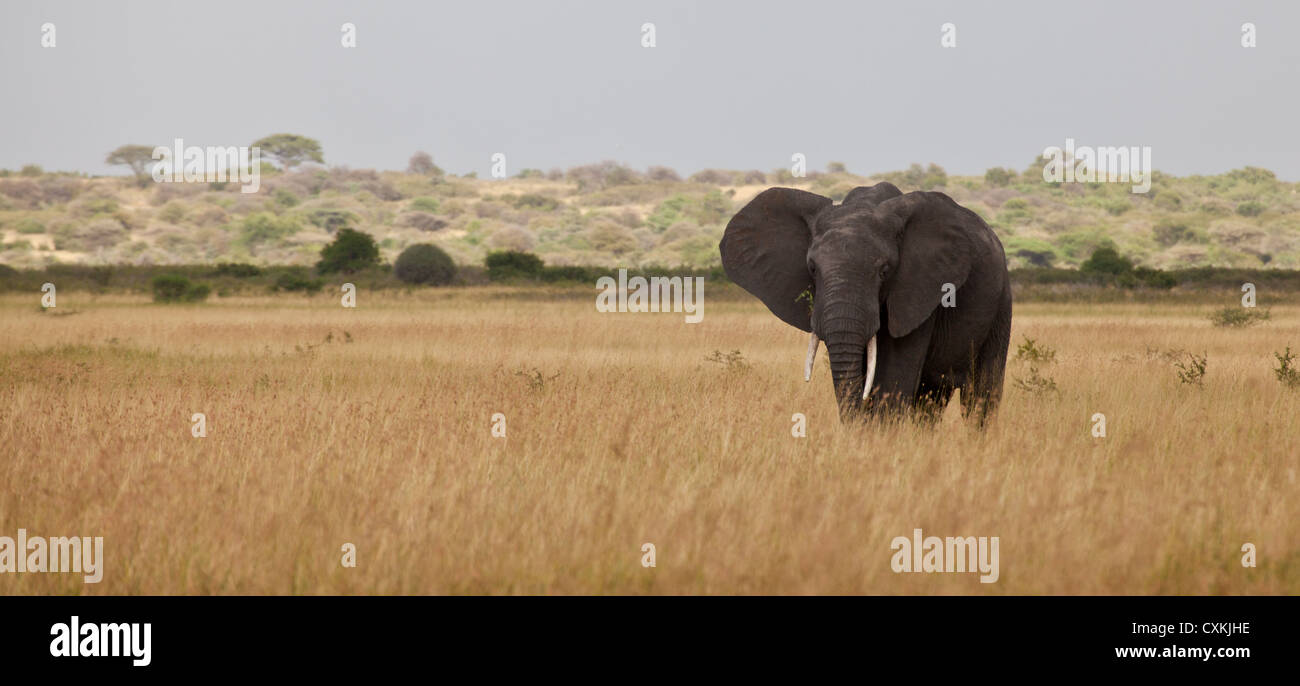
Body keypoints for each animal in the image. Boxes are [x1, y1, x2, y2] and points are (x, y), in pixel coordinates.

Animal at [719, 182, 1012, 424]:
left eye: (884, 271)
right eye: (812, 268)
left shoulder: (919, 290)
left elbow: (893, 381)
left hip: (1001, 302)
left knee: (980, 398)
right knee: (931, 402)